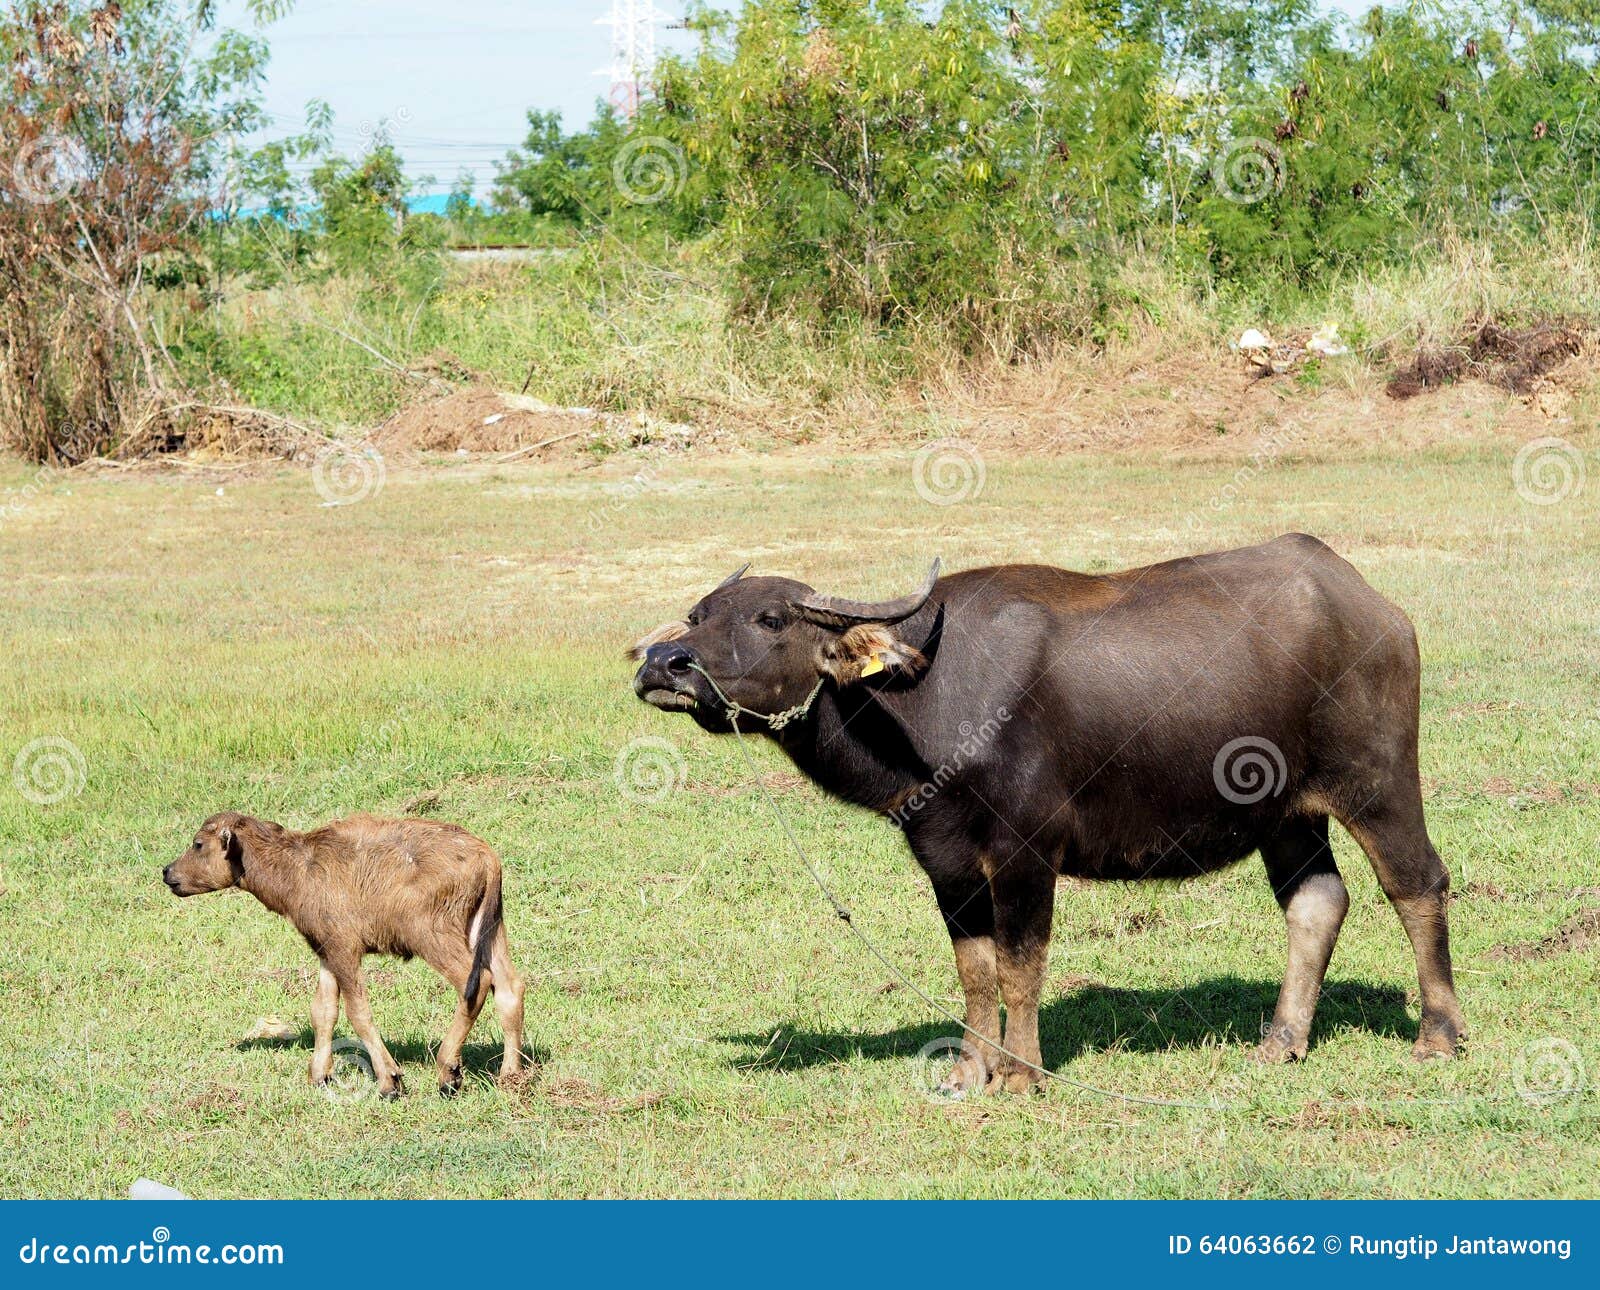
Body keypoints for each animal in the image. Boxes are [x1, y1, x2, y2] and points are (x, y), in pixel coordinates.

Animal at [631, 535, 1464, 1094]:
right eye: (697, 614)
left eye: (771, 619)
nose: (662, 664)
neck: (919, 698)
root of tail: (1376, 608)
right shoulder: (946, 860)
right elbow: (974, 968)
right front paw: (971, 1069)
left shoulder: (1026, 852)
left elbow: (1021, 965)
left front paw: (1022, 1073)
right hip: (1286, 814)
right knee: (1317, 902)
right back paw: (1280, 1042)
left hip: (1377, 782)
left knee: (1416, 884)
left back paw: (1438, 1036)